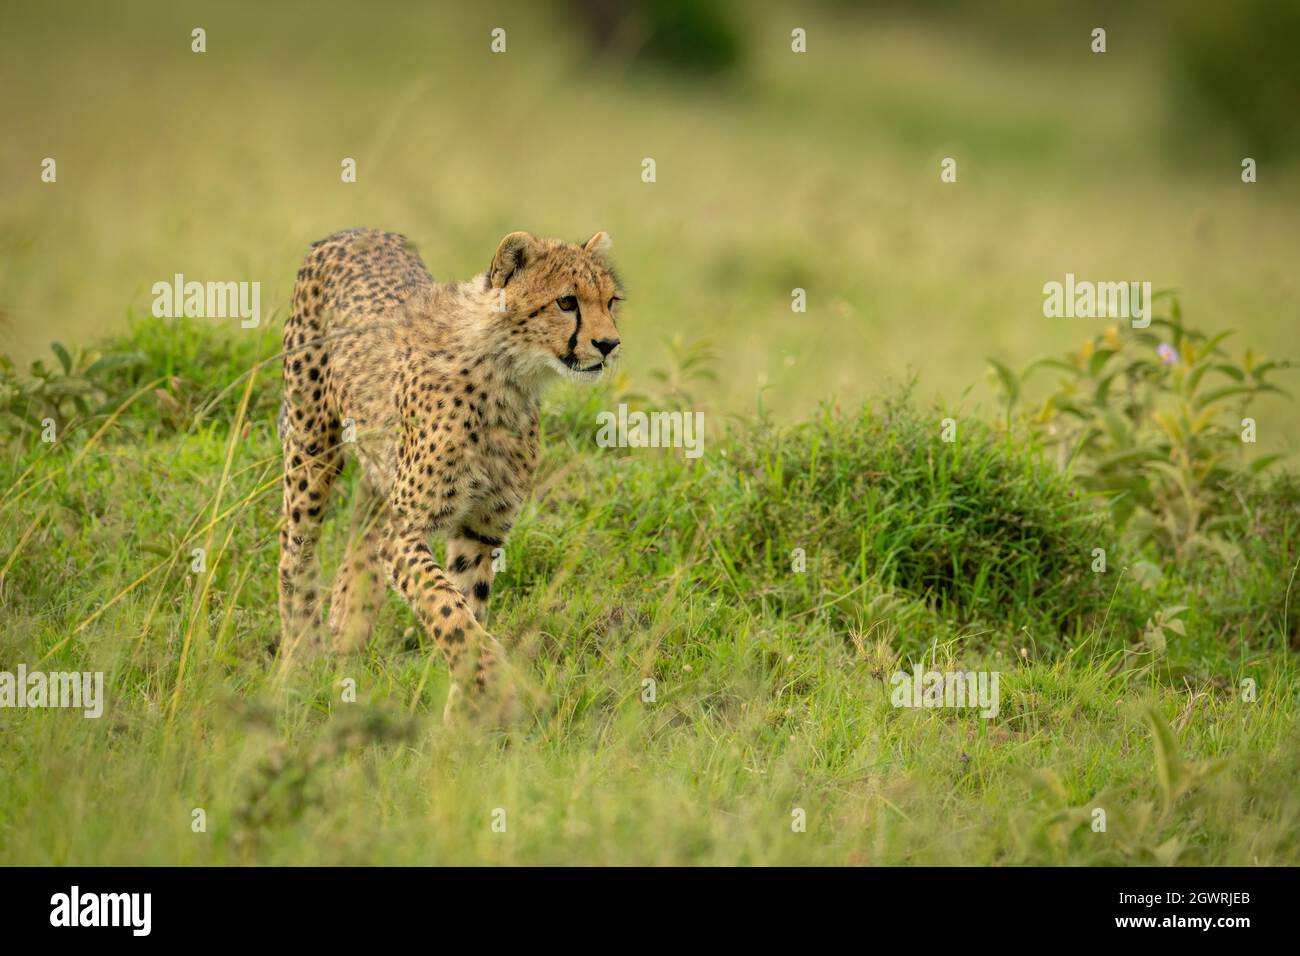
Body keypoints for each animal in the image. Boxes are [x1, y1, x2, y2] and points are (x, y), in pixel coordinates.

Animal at [277, 227, 623, 722]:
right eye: (566, 302)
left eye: (610, 301)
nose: (609, 344)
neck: (508, 377)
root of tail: (357, 231)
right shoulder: (406, 529)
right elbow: (445, 606)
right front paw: (498, 688)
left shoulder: (480, 532)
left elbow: (464, 610)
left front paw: (463, 718)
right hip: (311, 444)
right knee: (297, 548)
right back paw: (299, 659)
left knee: (364, 513)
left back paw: (349, 616)